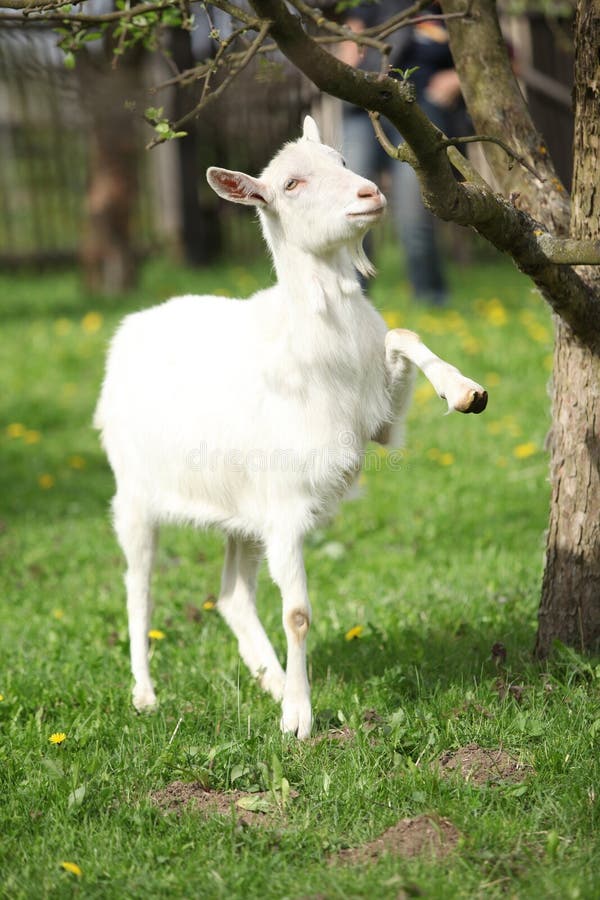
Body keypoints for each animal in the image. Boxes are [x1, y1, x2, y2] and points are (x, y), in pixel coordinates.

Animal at [94, 116, 487, 739]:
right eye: (292, 184)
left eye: (341, 159)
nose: (370, 194)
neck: (316, 349)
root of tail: (131, 328)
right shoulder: (286, 508)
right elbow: (298, 614)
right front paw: (300, 720)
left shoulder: (372, 424)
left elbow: (401, 336)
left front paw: (463, 390)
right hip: (135, 494)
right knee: (140, 589)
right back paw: (146, 694)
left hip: (241, 510)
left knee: (231, 595)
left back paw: (271, 680)